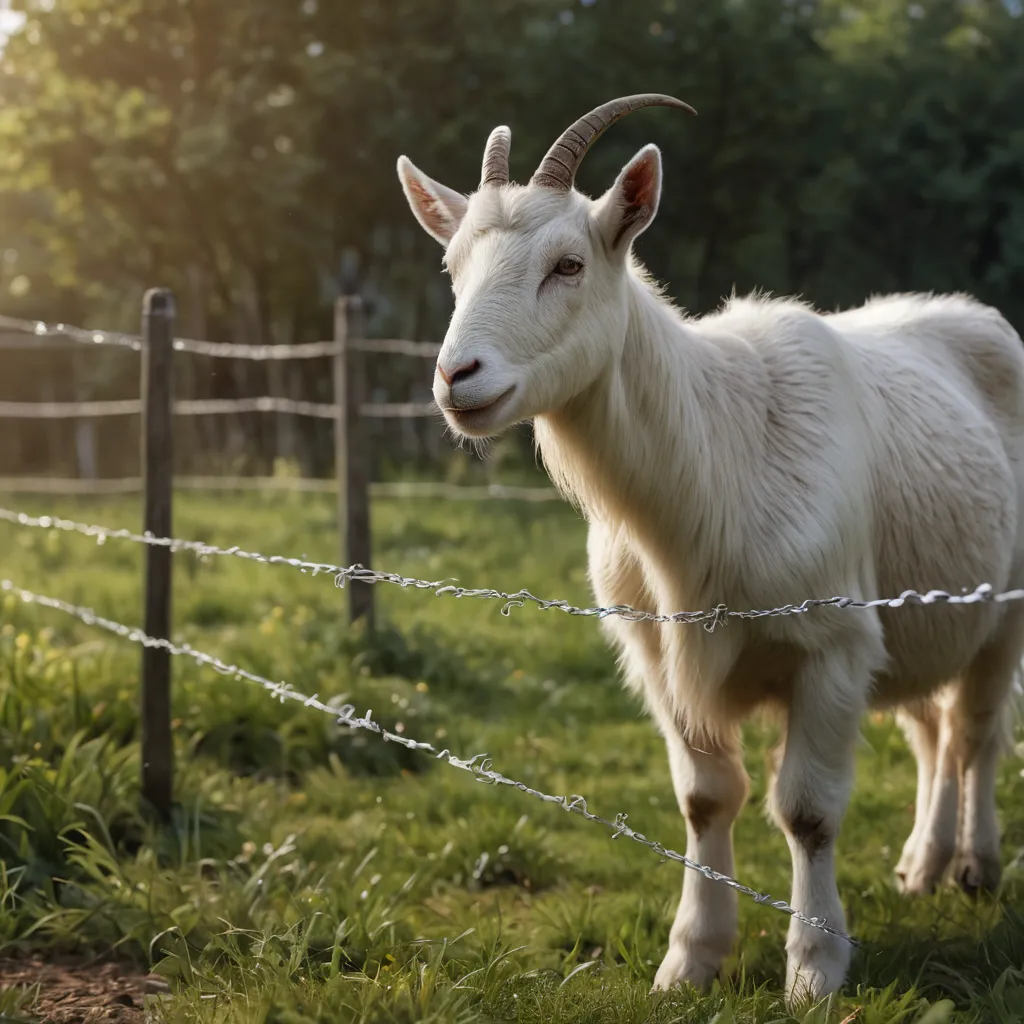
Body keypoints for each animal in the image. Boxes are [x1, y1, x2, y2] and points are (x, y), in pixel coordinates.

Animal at [396, 94, 1024, 1004]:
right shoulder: (658, 650)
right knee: (932, 730)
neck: (719, 453)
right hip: (920, 610)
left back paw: (975, 865)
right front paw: (691, 959)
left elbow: (807, 810)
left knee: (976, 728)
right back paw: (922, 865)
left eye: (568, 265)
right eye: (451, 268)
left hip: (1003, 606)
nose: (457, 377)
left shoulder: (833, 644)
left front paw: (814, 968)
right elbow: (705, 799)